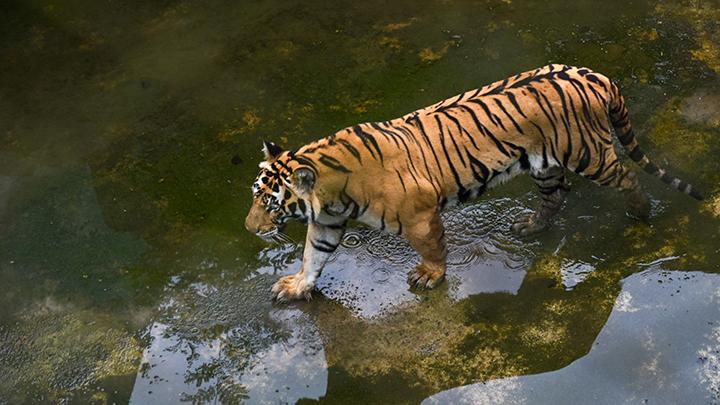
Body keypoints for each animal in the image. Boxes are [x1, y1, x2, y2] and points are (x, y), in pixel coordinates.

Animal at [244, 64, 703, 302]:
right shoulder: (325, 223)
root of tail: (593, 74)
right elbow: (313, 256)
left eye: (271, 203)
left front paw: (429, 277)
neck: (329, 194)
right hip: (544, 165)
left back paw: (640, 213)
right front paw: (297, 285)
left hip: (588, 154)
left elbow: (432, 248)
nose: (250, 228)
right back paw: (530, 226)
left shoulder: (421, 214)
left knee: (626, 176)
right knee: (558, 195)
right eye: (255, 196)